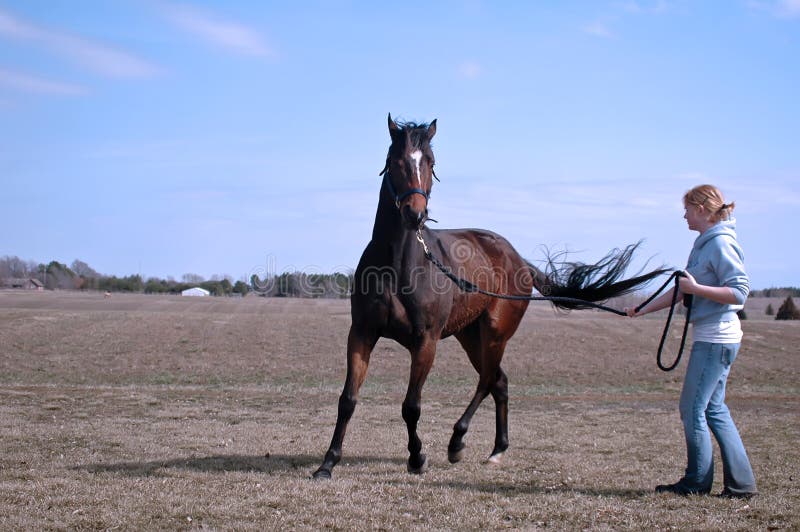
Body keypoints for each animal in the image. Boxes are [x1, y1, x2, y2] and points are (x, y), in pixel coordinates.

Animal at [312, 114, 667, 479]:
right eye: (395, 160)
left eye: (430, 162)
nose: (415, 214)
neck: (398, 262)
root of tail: (518, 259)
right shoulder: (362, 333)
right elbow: (348, 400)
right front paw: (328, 462)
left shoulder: (426, 341)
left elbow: (411, 406)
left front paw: (417, 457)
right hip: (471, 336)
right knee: (499, 381)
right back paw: (498, 448)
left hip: (496, 333)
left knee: (486, 381)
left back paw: (458, 441)